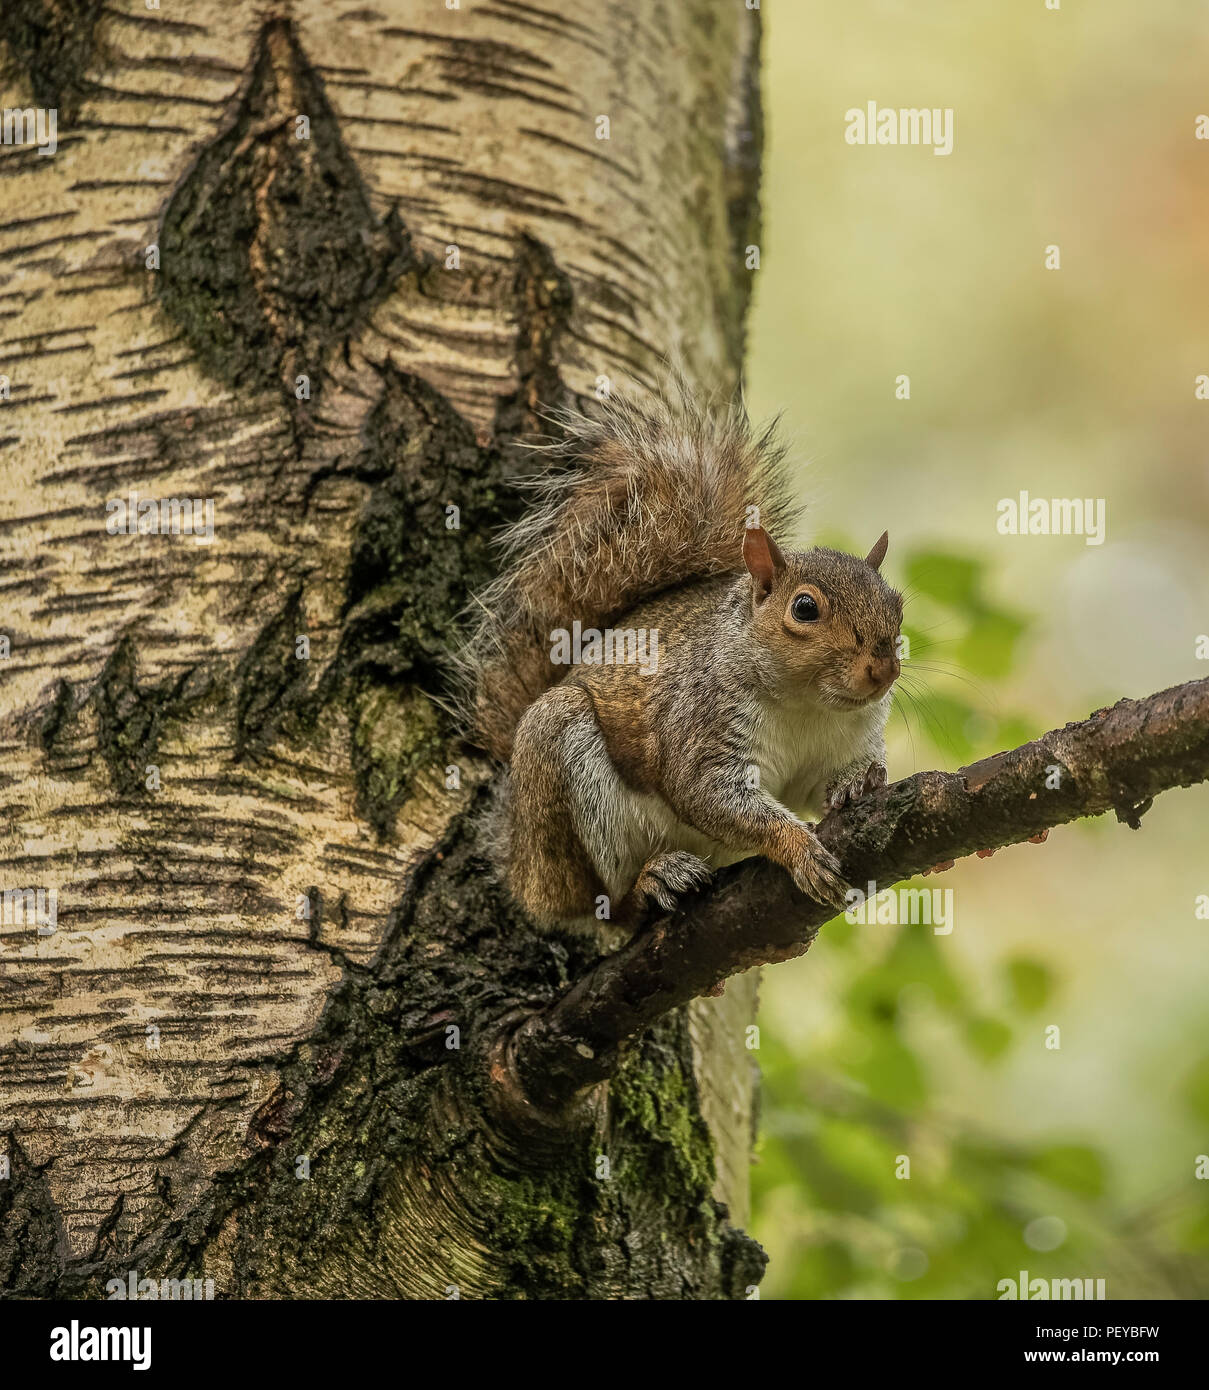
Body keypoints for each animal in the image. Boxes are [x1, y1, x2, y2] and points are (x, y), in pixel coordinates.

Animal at [455, 381, 904, 934]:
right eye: (804, 608)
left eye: (897, 606)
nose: (883, 671)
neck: (808, 705)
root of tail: (519, 857)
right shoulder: (700, 722)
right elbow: (710, 795)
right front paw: (799, 848)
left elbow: (817, 784)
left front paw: (860, 781)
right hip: (558, 757)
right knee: (607, 910)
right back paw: (651, 883)